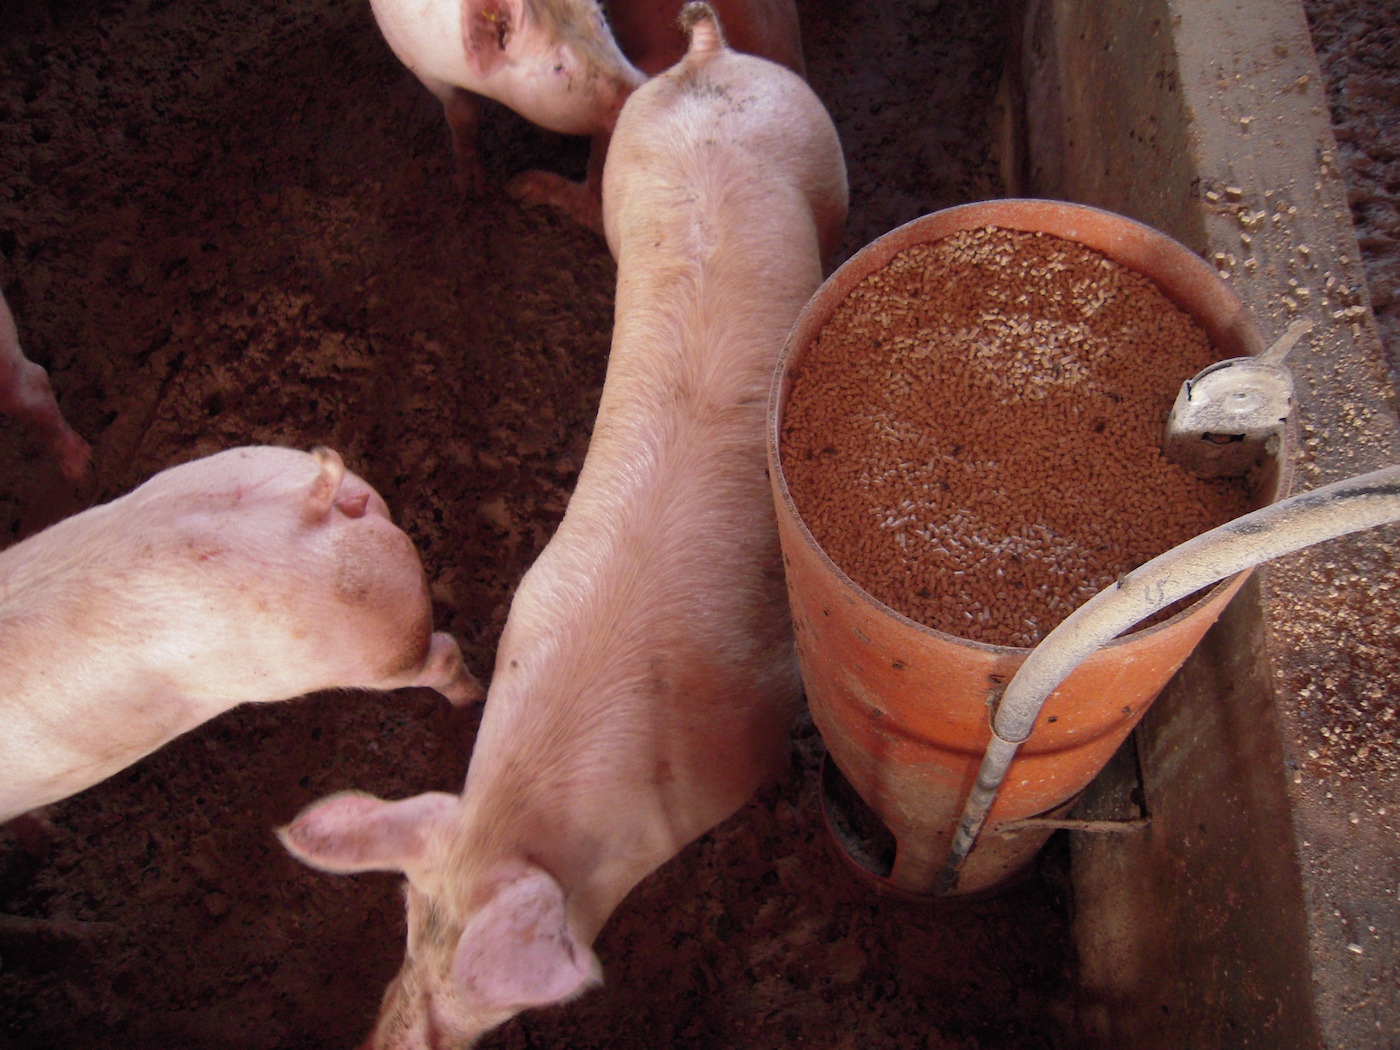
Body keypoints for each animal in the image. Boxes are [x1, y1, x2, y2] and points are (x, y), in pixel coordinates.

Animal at [369, 0, 804, 231]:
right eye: (558, 67)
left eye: (601, 20)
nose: (643, 87)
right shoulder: (421, 62)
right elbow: (462, 115)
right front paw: (472, 190)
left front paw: (499, 188)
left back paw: (523, 185)